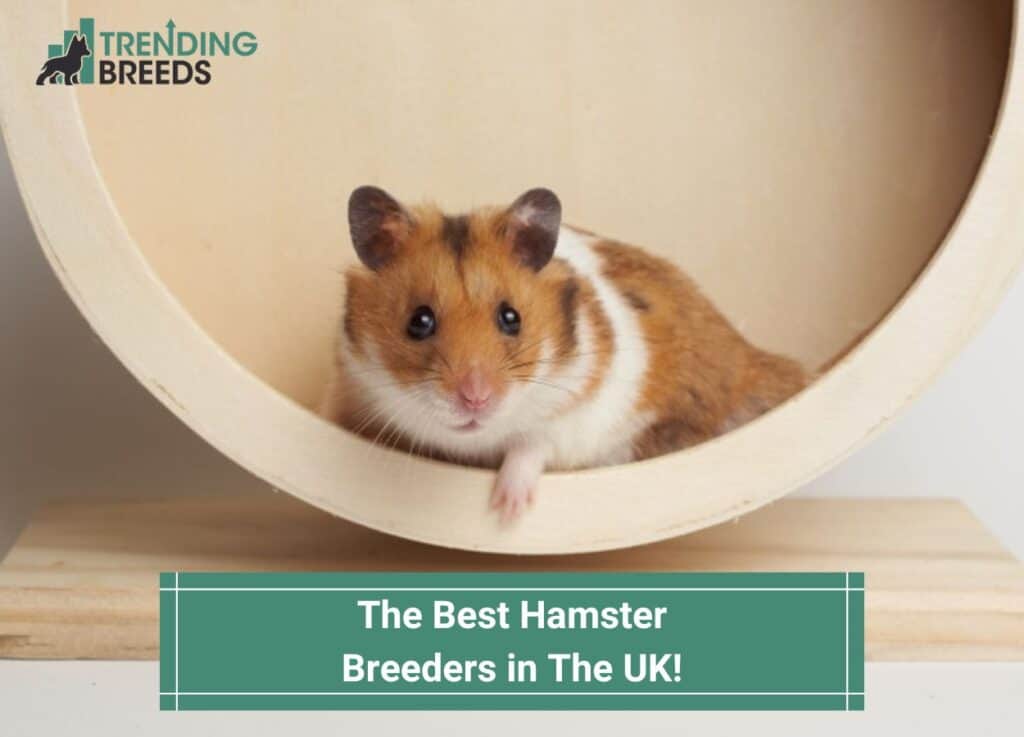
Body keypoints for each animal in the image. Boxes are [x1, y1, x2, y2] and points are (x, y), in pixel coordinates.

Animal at [322, 186, 808, 519]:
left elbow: (531, 445)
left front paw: (506, 511)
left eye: (511, 317)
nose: (476, 399)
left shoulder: (576, 412)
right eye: (419, 321)